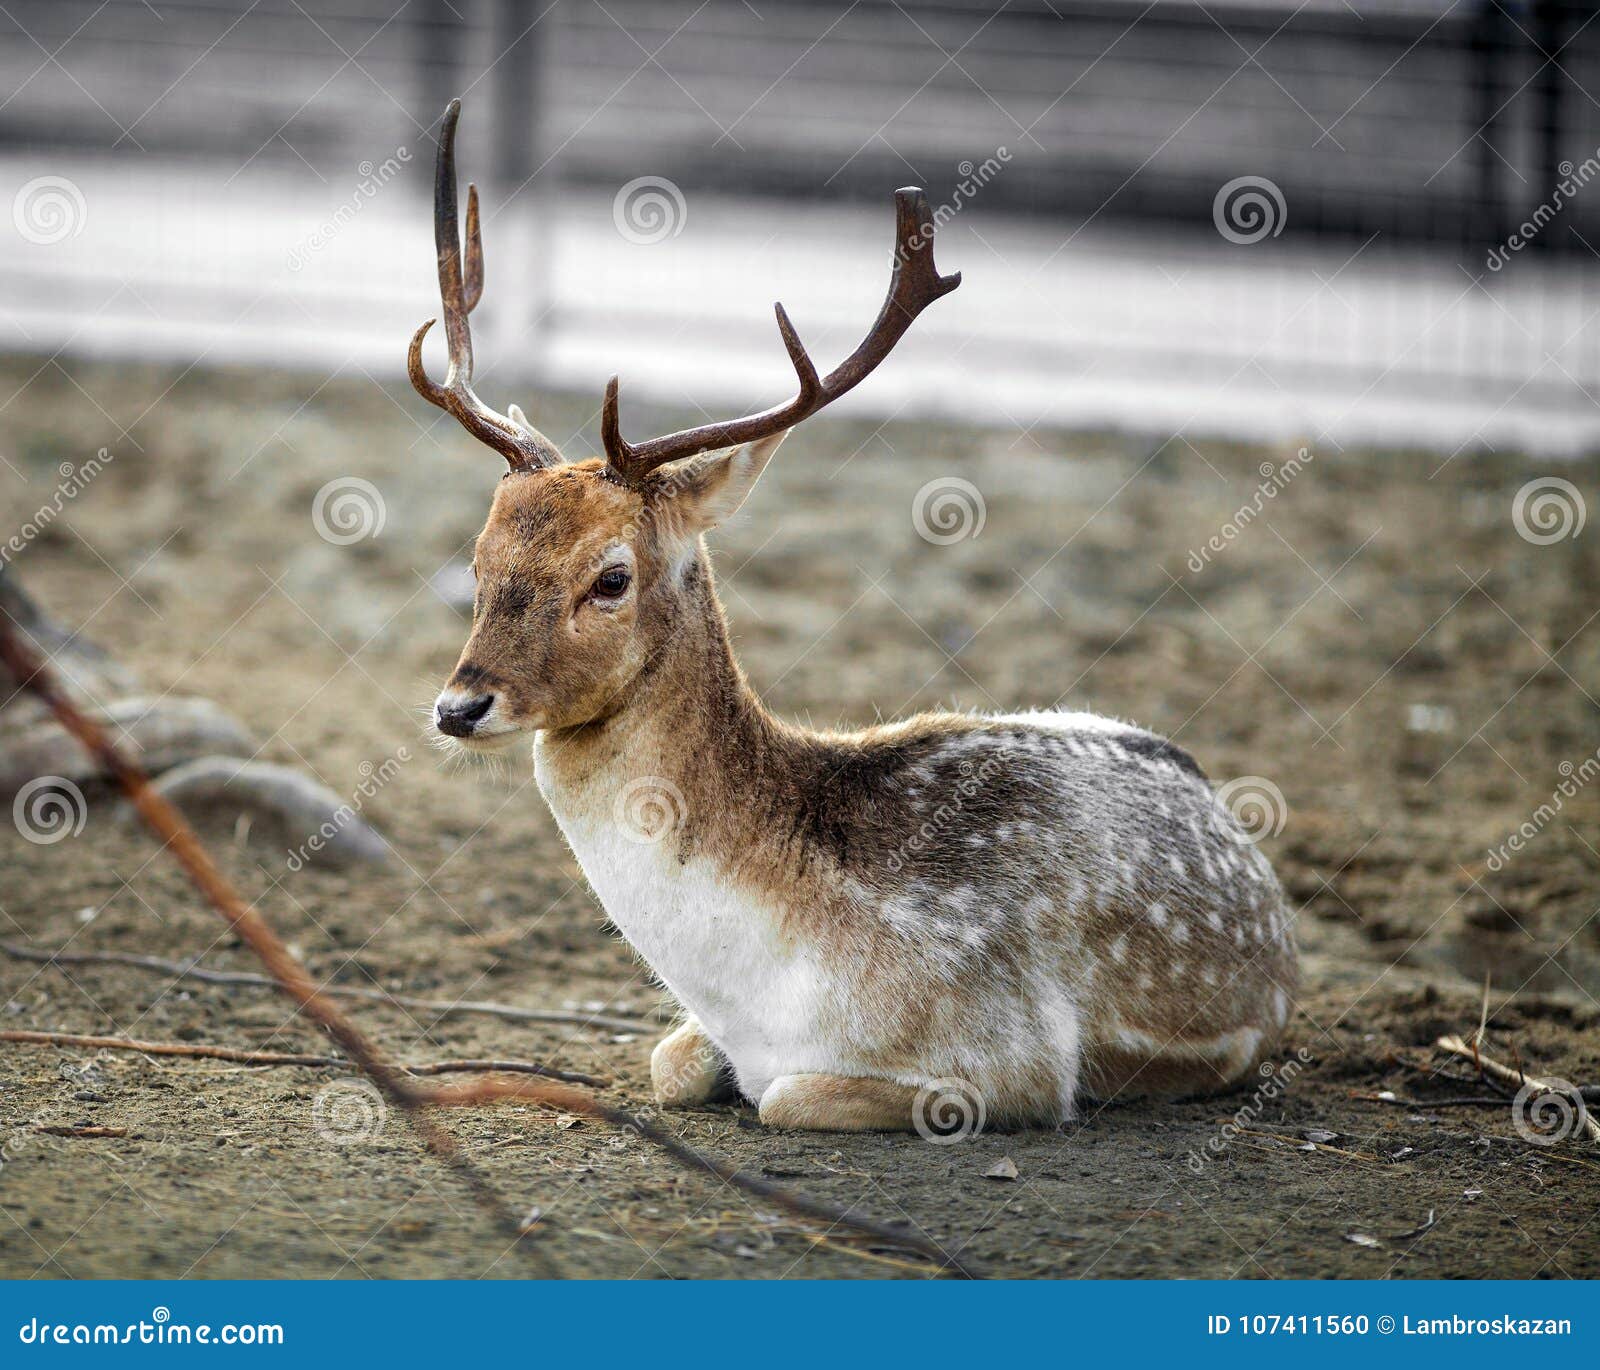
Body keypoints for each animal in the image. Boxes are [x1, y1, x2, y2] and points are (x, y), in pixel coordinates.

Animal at [412, 101, 1297, 1134]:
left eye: (611, 577)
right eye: (479, 556)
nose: (459, 706)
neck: (760, 983)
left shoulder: (1011, 1058)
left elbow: (788, 1097)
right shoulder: (697, 1035)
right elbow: (668, 1063)